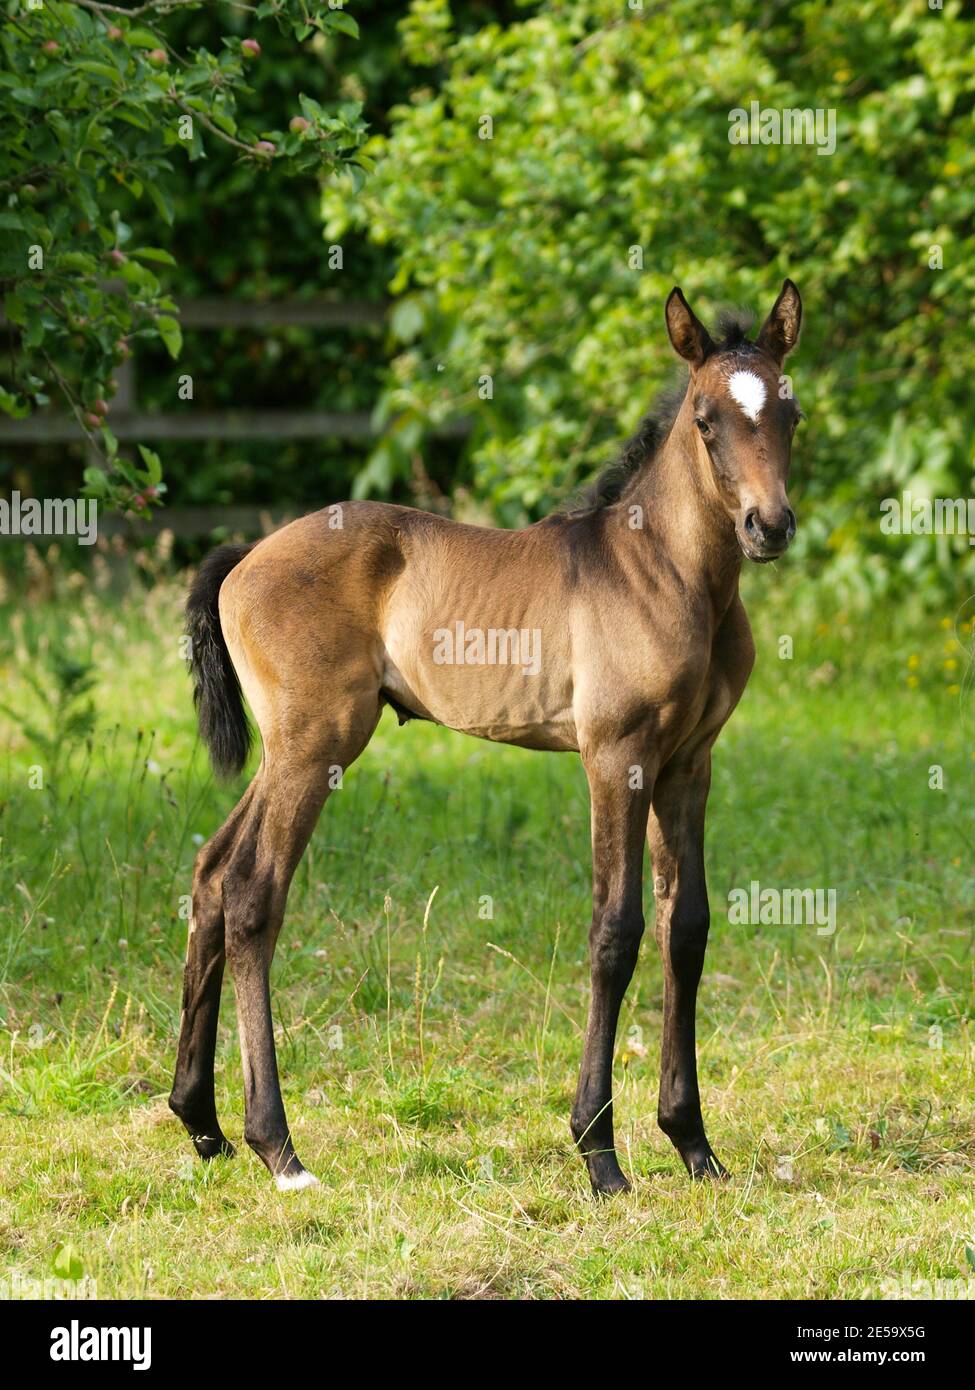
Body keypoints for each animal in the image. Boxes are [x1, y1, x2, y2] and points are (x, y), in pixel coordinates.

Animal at [169, 280, 803, 1194]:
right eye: (706, 419)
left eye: (790, 412)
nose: (768, 526)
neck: (670, 573)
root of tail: (248, 554)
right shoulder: (615, 757)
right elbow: (615, 932)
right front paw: (599, 1155)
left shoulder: (689, 762)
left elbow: (686, 929)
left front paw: (693, 1145)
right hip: (316, 746)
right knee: (255, 892)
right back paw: (278, 1147)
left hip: (290, 747)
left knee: (213, 873)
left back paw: (202, 1124)